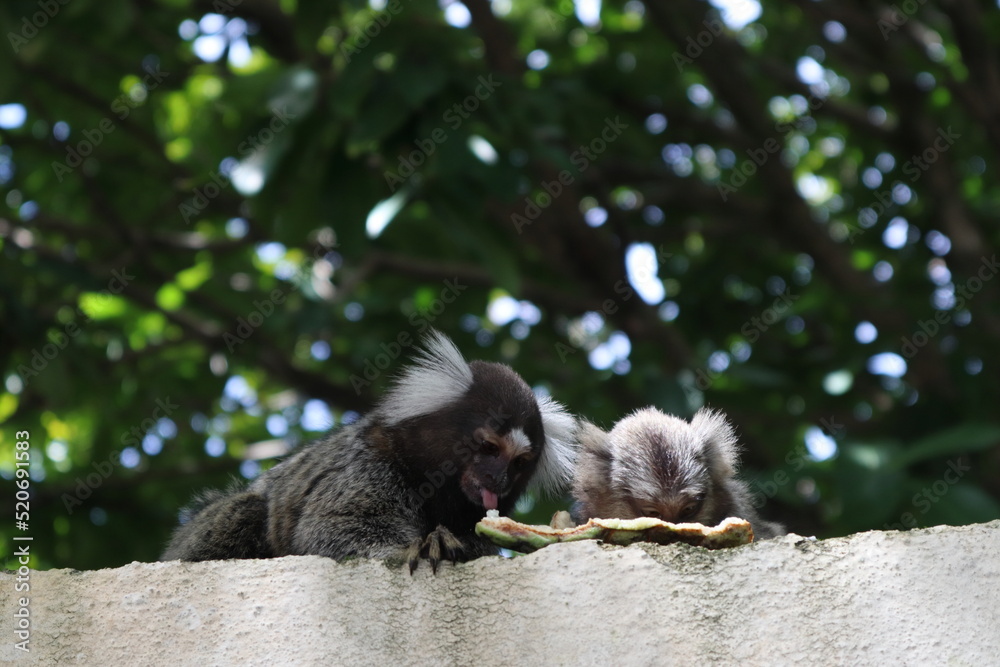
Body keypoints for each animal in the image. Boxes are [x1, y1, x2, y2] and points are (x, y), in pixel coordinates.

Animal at [161, 330, 579, 572]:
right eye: (489, 447)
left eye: (519, 462)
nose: (499, 479)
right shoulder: (368, 466)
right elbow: (332, 528)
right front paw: (422, 545)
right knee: (246, 510)